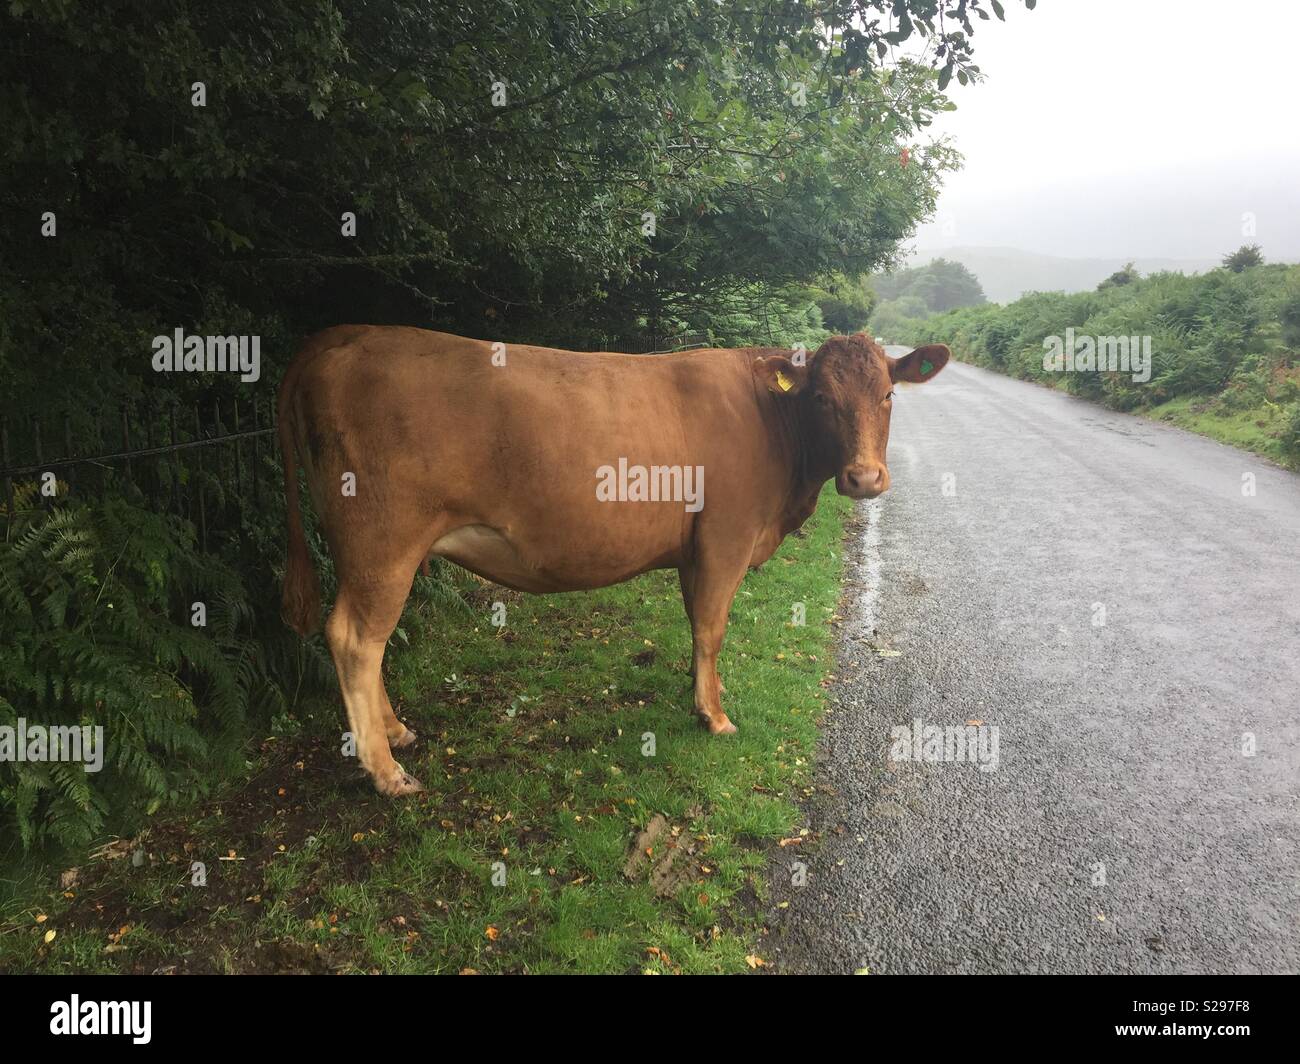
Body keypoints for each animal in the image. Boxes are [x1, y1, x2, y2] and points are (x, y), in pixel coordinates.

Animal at [277, 327, 949, 795]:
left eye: (888, 394)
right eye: (822, 398)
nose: (864, 478)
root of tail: (345, 337)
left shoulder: (694, 548)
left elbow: (697, 625)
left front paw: (703, 691)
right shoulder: (726, 538)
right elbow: (712, 626)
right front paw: (715, 716)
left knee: (368, 640)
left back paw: (394, 731)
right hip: (382, 543)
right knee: (356, 639)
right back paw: (386, 770)